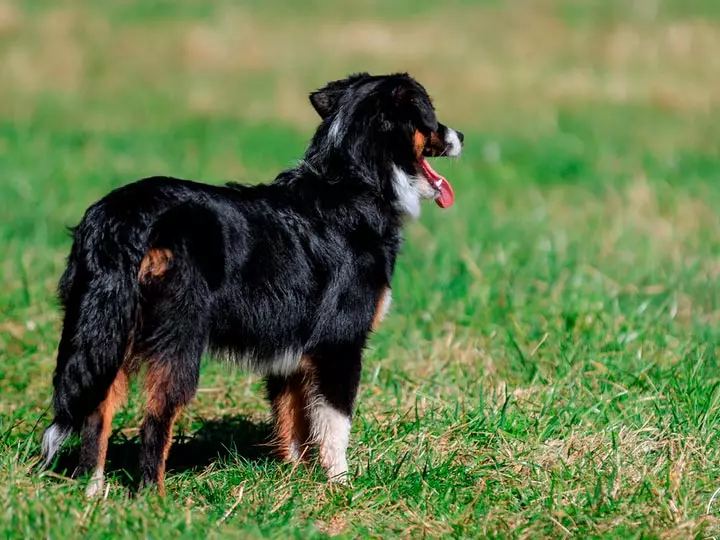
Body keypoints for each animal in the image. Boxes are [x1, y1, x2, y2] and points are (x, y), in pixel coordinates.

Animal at [40, 73, 466, 498]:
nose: (461, 134)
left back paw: (91, 494)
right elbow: (335, 425)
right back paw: (154, 497)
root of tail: (123, 218)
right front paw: (342, 485)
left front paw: (295, 481)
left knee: (97, 413)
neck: (355, 181)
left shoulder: (292, 349)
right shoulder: (340, 343)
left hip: (107, 331)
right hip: (178, 339)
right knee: (155, 419)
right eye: (430, 116)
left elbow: (293, 423)